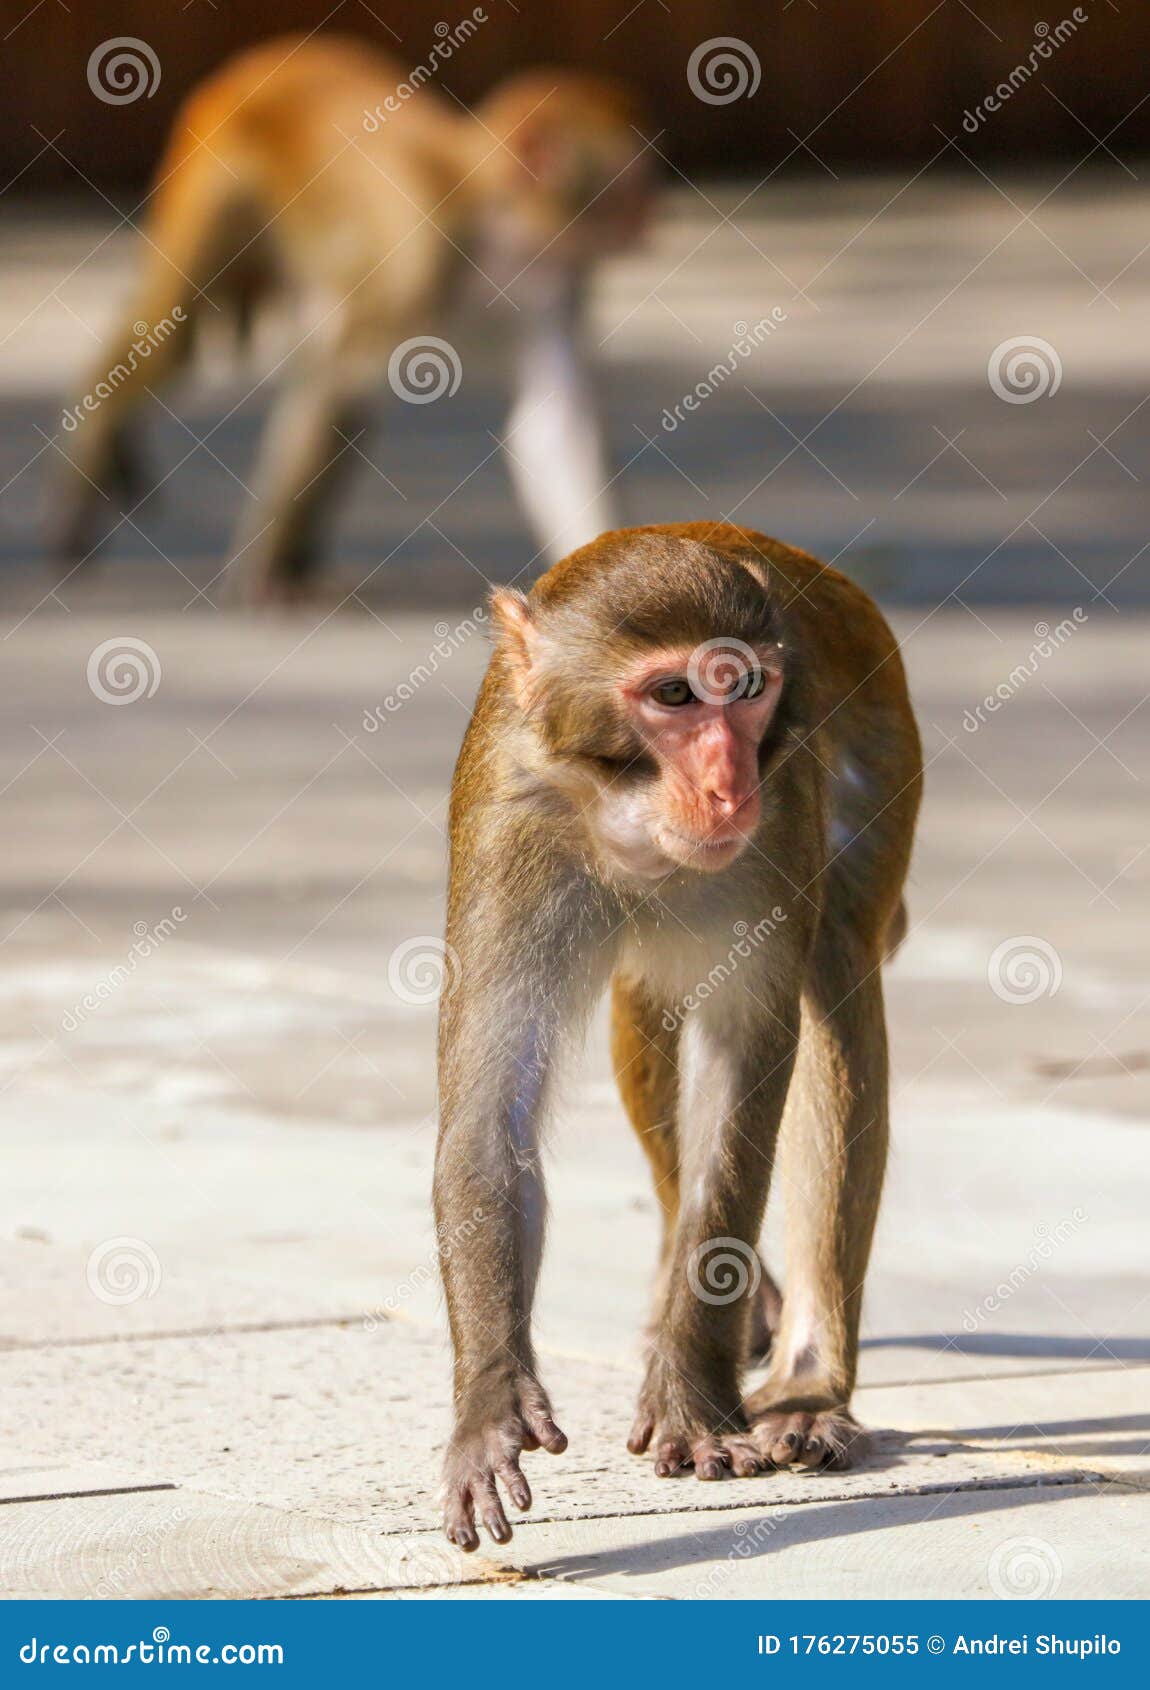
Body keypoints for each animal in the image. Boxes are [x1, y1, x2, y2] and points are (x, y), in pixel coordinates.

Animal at [56, 34, 653, 603]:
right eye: (630, 187)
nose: (650, 214)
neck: (502, 230)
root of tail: (257, 63)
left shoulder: (559, 277)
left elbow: (552, 417)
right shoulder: (415, 256)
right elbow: (337, 385)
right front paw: (263, 572)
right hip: (215, 161)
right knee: (180, 340)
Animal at [434, 521, 922, 1551]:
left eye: (746, 689)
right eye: (672, 696)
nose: (728, 785)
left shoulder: (781, 820)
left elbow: (747, 1073)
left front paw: (696, 1399)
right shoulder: (505, 824)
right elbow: (492, 1112)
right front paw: (490, 1405)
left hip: (879, 745)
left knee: (839, 977)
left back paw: (808, 1386)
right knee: (645, 1015)